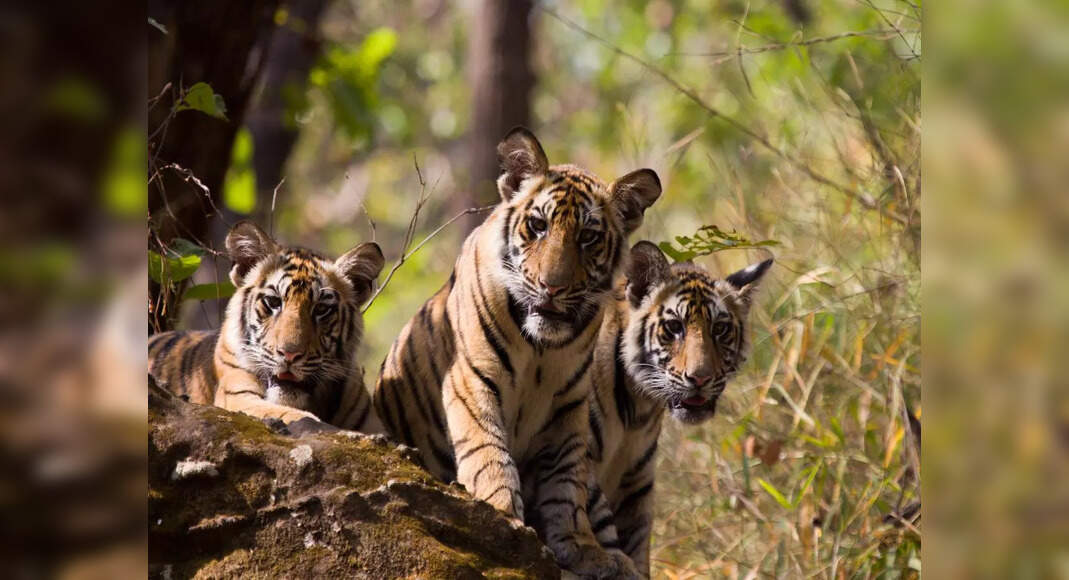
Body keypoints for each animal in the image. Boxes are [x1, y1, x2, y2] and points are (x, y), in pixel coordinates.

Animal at [373, 127, 661, 579]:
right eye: (538, 226)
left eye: (588, 237)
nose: (552, 287)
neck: (542, 349)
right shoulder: (472, 379)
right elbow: (488, 452)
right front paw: (503, 519)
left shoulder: (570, 404)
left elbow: (567, 483)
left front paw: (583, 548)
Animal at [585, 241, 773, 576]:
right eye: (674, 327)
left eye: (720, 329)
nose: (700, 377)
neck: (637, 404)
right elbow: (597, 515)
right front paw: (613, 563)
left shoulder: (636, 480)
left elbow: (637, 539)